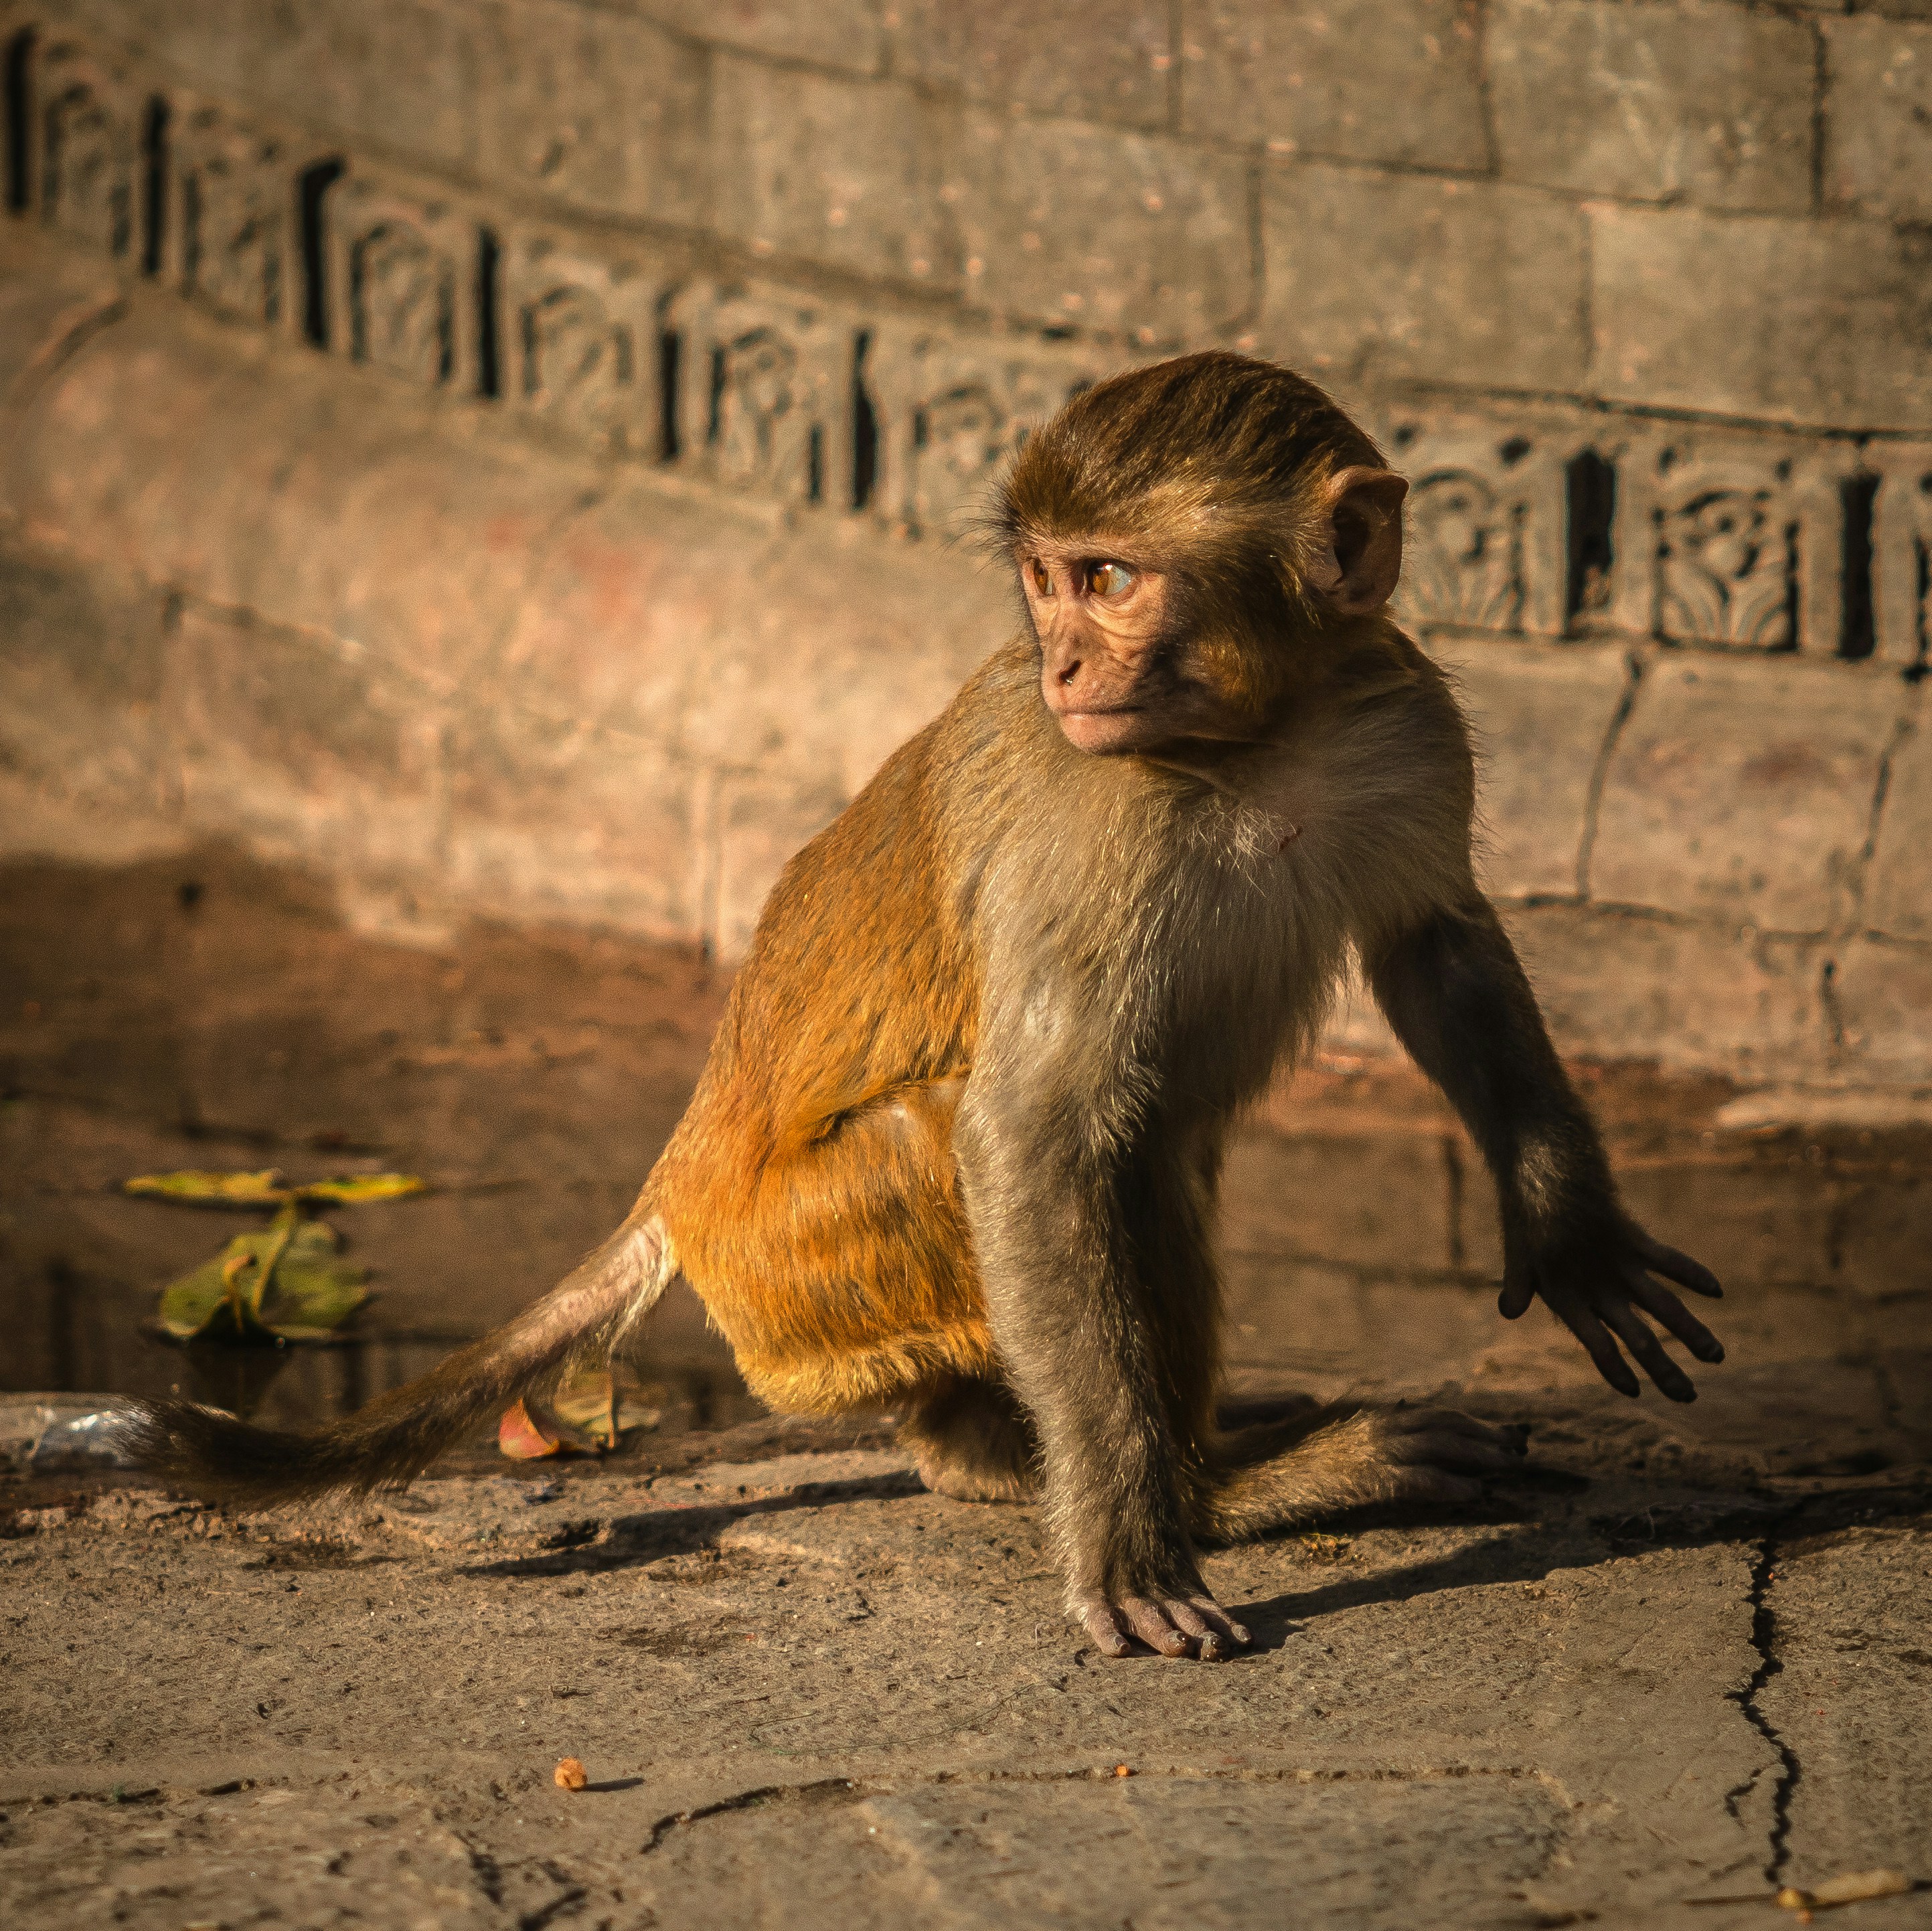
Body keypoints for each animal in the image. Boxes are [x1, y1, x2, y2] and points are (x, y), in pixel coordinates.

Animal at [122, 351, 1724, 1662]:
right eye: (1051, 581)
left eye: (1111, 579)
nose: (1065, 661)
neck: (1258, 739)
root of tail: (676, 1185)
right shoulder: (1090, 826)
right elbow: (1029, 1132)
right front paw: (1125, 1546)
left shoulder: (1404, 720)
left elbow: (1437, 945)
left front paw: (1574, 1238)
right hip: (805, 1267)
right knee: (1042, 1139)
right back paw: (1158, 1478)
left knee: (1160, 1146)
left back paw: (1215, 1448)